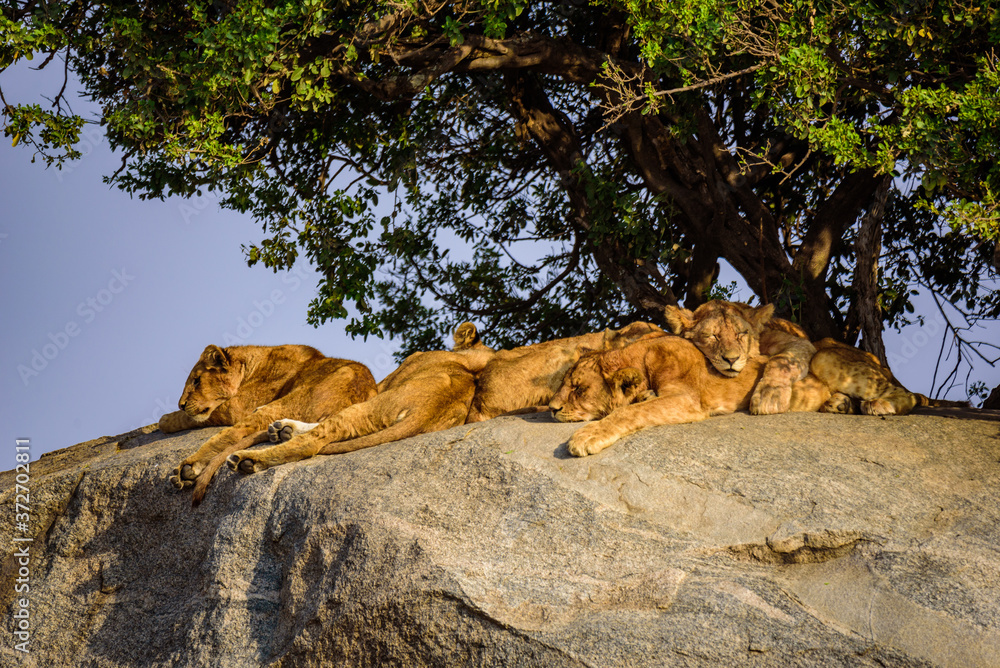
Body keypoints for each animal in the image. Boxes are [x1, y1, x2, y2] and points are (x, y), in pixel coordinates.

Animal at [161, 344, 377, 504]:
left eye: (197, 381)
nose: (181, 404)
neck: (252, 365)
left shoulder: (237, 407)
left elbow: (186, 418)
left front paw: (164, 420)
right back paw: (283, 431)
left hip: (283, 404)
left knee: (231, 434)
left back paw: (187, 469)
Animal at [222, 323, 495, 474]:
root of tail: (428, 410)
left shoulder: (384, 382)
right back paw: (283, 429)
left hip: (370, 405)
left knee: (315, 440)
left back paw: (248, 459)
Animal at [548, 334, 835, 456]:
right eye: (563, 384)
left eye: (578, 388)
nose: (551, 408)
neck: (642, 359)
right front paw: (644, 396)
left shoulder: (685, 399)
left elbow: (628, 411)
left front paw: (586, 436)